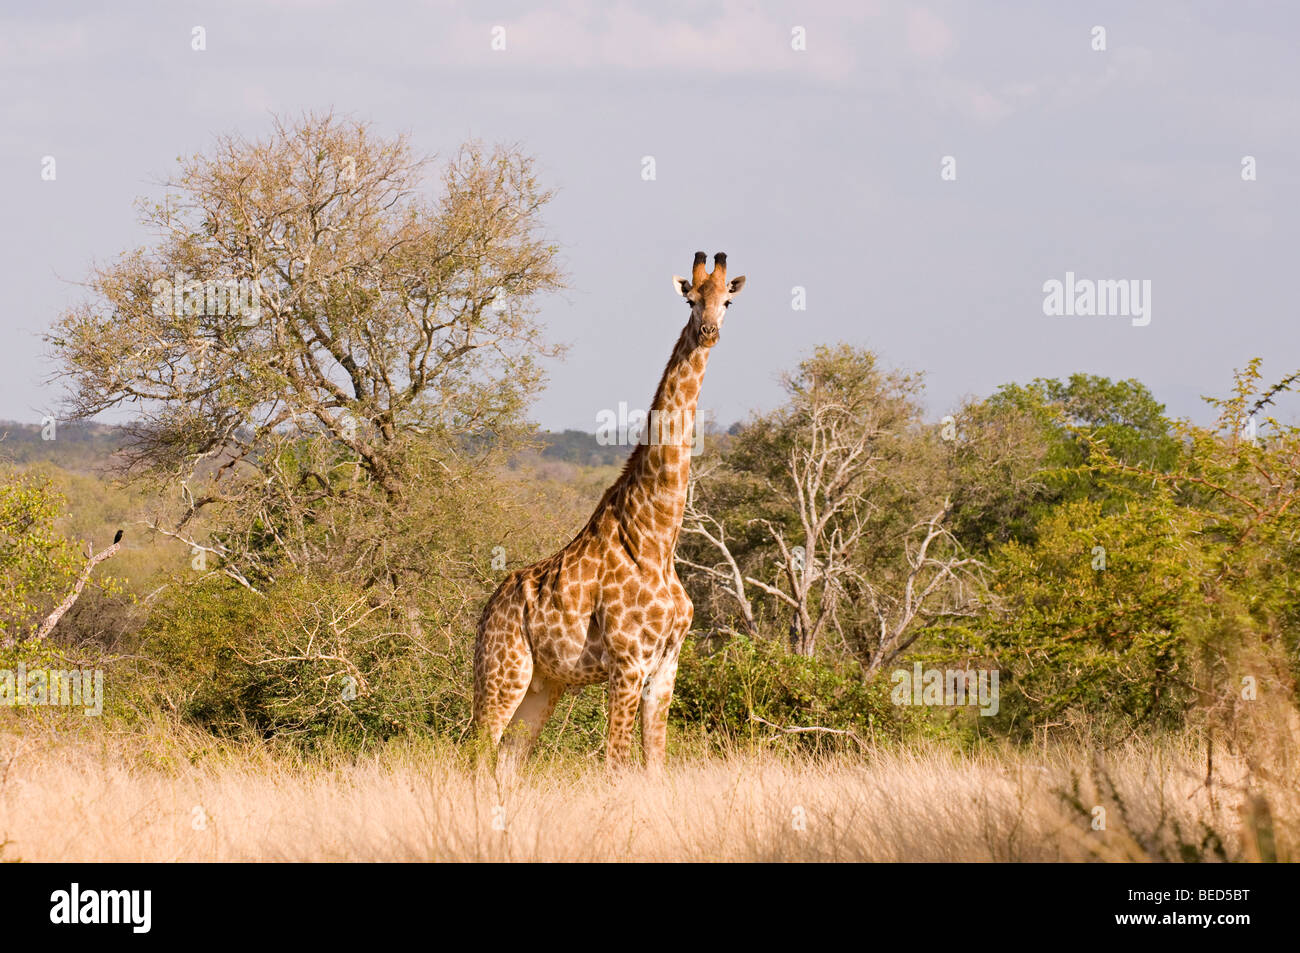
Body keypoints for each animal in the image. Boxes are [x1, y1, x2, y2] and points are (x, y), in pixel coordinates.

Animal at [474, 251, 746, 767]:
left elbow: (655, 764)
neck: (656, 539)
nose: (708, 332)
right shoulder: (627, 663)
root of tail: (486, 611)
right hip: (503, 672)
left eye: (728, 301)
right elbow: (617, 762)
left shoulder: (666, 666)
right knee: (473, 750)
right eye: (690, 300)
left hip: (545, 684)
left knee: (508, 759)